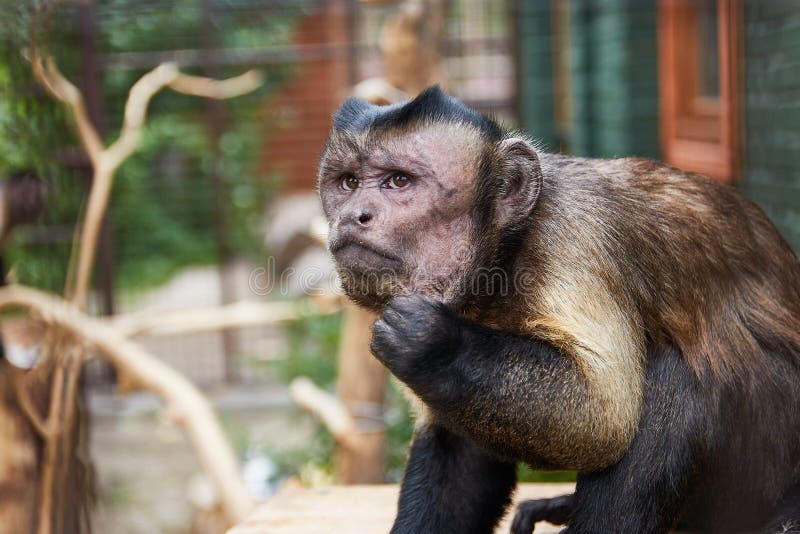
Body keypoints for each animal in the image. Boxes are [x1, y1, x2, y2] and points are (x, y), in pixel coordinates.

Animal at [317, 86, 800, 533]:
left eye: (398, 182)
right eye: (349, 183)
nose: (356, 214)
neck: (504, 254)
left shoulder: (572, 233)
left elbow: (603, 416)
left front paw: (433, 342)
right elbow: (456, 445)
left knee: (678, 382)